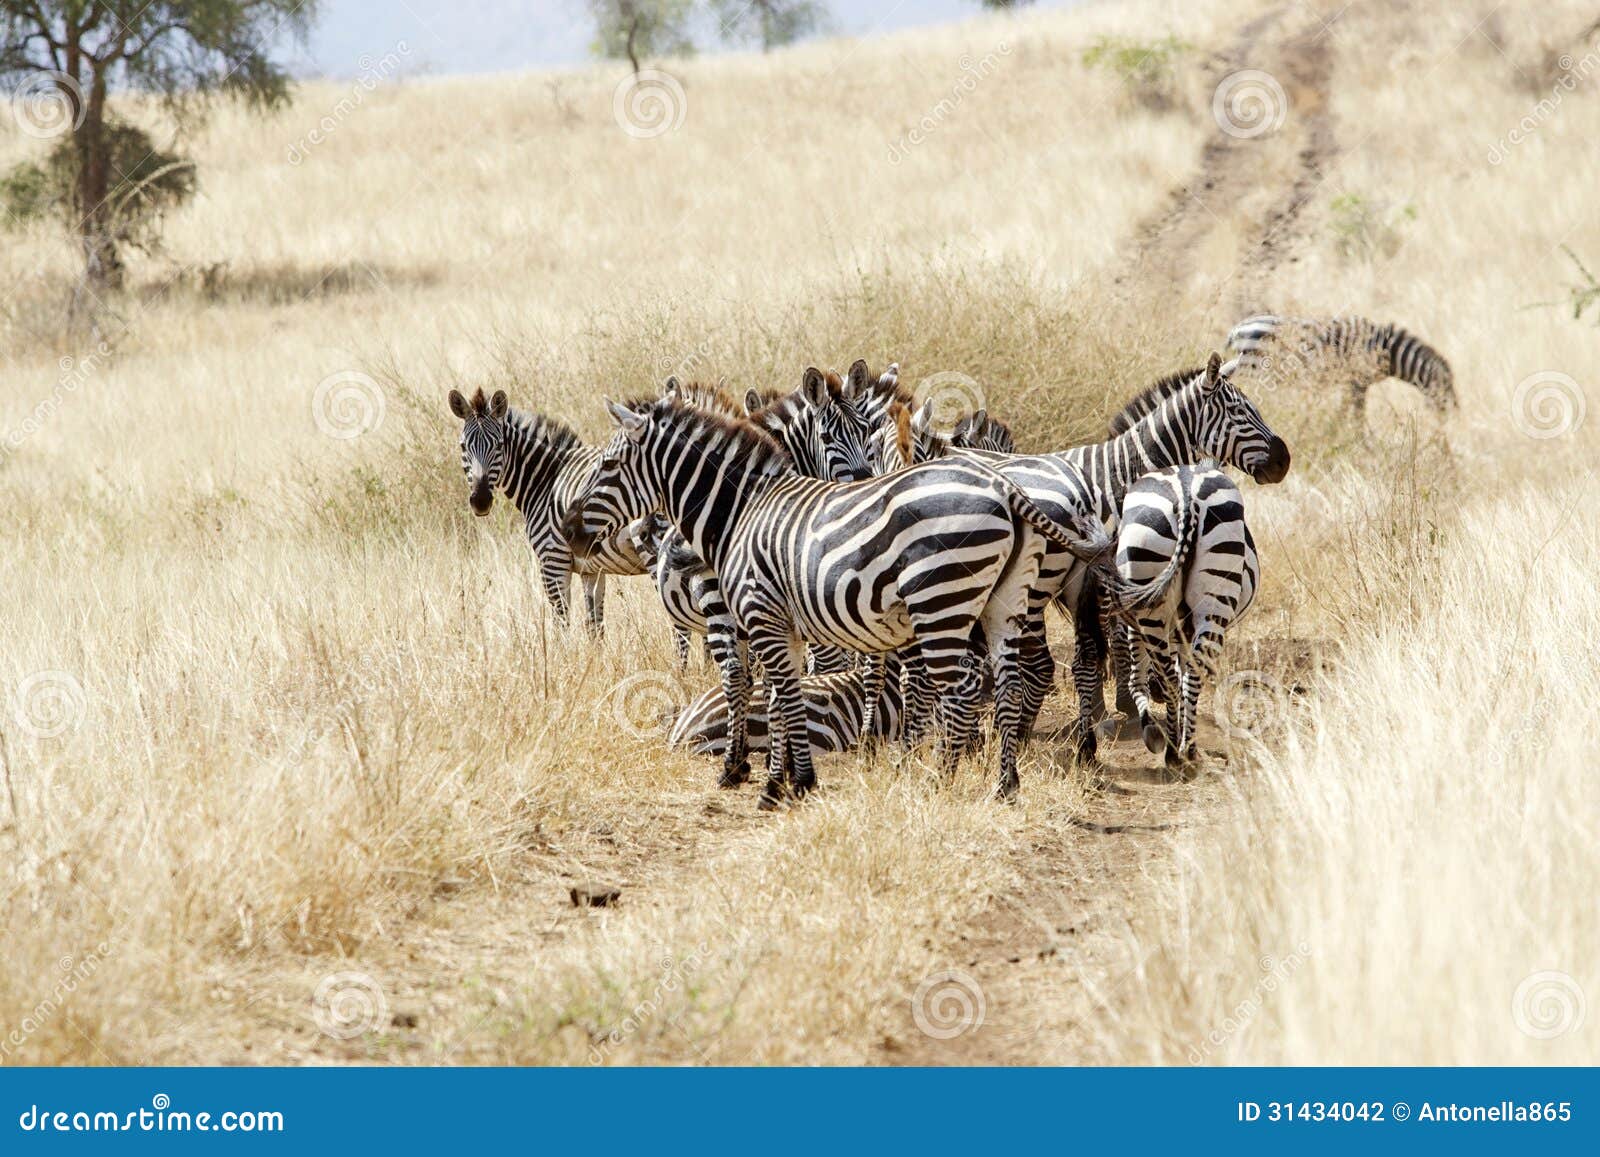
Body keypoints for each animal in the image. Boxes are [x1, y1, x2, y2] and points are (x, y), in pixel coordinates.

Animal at [447, 387, 649, 631]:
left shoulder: (553, 559)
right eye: (463, 446)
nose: (481, 500)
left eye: (499, 445)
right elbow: (594, 627)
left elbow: (562, 624)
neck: (547, 480)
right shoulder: (591, 570)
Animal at [559, 396, 1116, 806]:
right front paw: (780, 776)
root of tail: (1005, 488)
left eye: (608, 465)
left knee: (961, 689)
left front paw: (783, 783)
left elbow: (778, 693)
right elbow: (780, 695)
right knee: (1010, 682)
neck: (742, 510)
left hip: (941, 599)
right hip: (1003, 602)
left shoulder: (760, 614)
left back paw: (941, 779)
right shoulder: (782, 623)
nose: (568, 532)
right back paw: (1005, 786)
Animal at [1103, 463, 1258, 775]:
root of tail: (1187, 495)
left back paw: (1175, 751)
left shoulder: (1136, 623)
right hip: (1214, 600)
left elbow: (1137, 678)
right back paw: (1189, 750)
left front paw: (1152, 731)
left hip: (1152, 604)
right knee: (1191, 676)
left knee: (1173, 678)